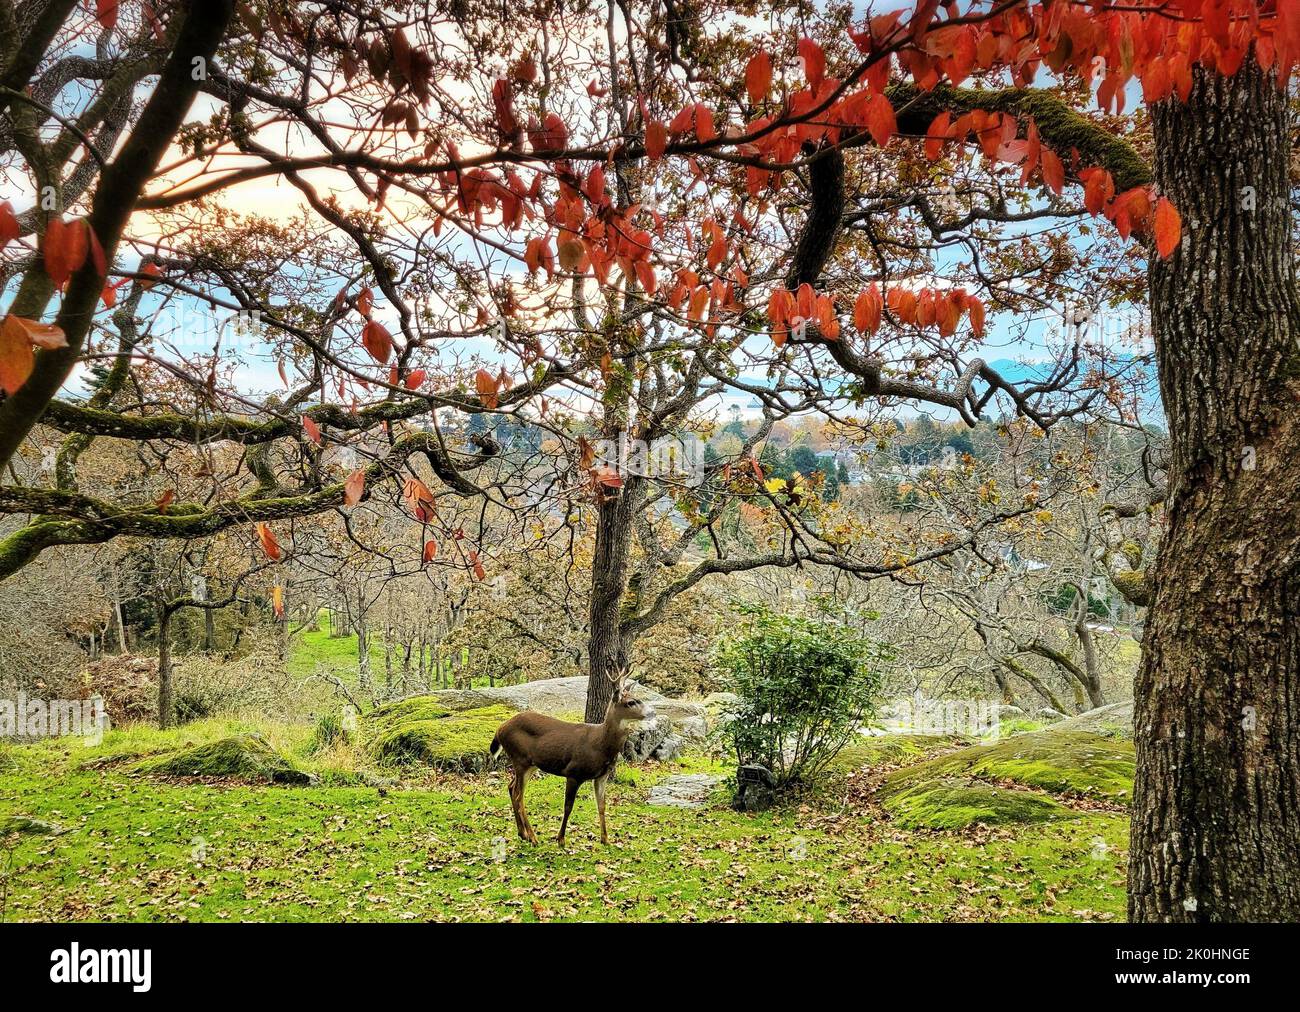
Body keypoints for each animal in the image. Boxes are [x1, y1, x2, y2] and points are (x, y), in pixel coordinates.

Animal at [489, 665, 656, 846]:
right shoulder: (573, 772)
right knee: (519, 795)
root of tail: (500, 729)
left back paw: (523, 834)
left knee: (512, 788)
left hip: (530, 764)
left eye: (638, 698)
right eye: (630, 702)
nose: (652, 713)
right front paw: (561, 839)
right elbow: (568, 806)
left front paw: (605, 839)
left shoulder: (602, 775)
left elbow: (602, 805)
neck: (600, 744)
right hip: (520, 759)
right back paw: (533, 837)